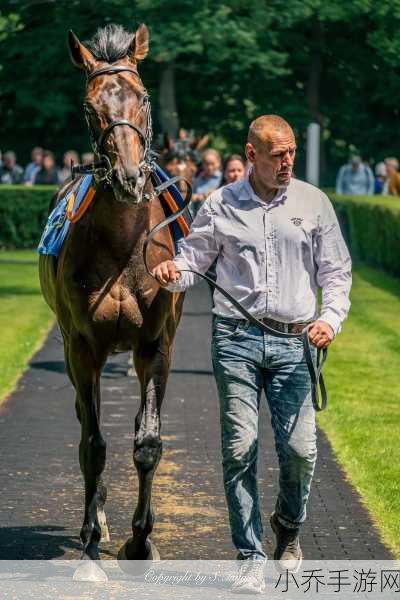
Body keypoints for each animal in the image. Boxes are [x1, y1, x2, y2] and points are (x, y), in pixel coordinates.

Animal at [37, 22, 184, 576]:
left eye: (142, 97)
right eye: (88, 106)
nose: (128, 178)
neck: (124, 245)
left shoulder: (155, 344)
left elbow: (147, 442)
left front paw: (140, 541)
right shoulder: (81, 346)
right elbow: (93, 444)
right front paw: (90, 544)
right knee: (88, 421)